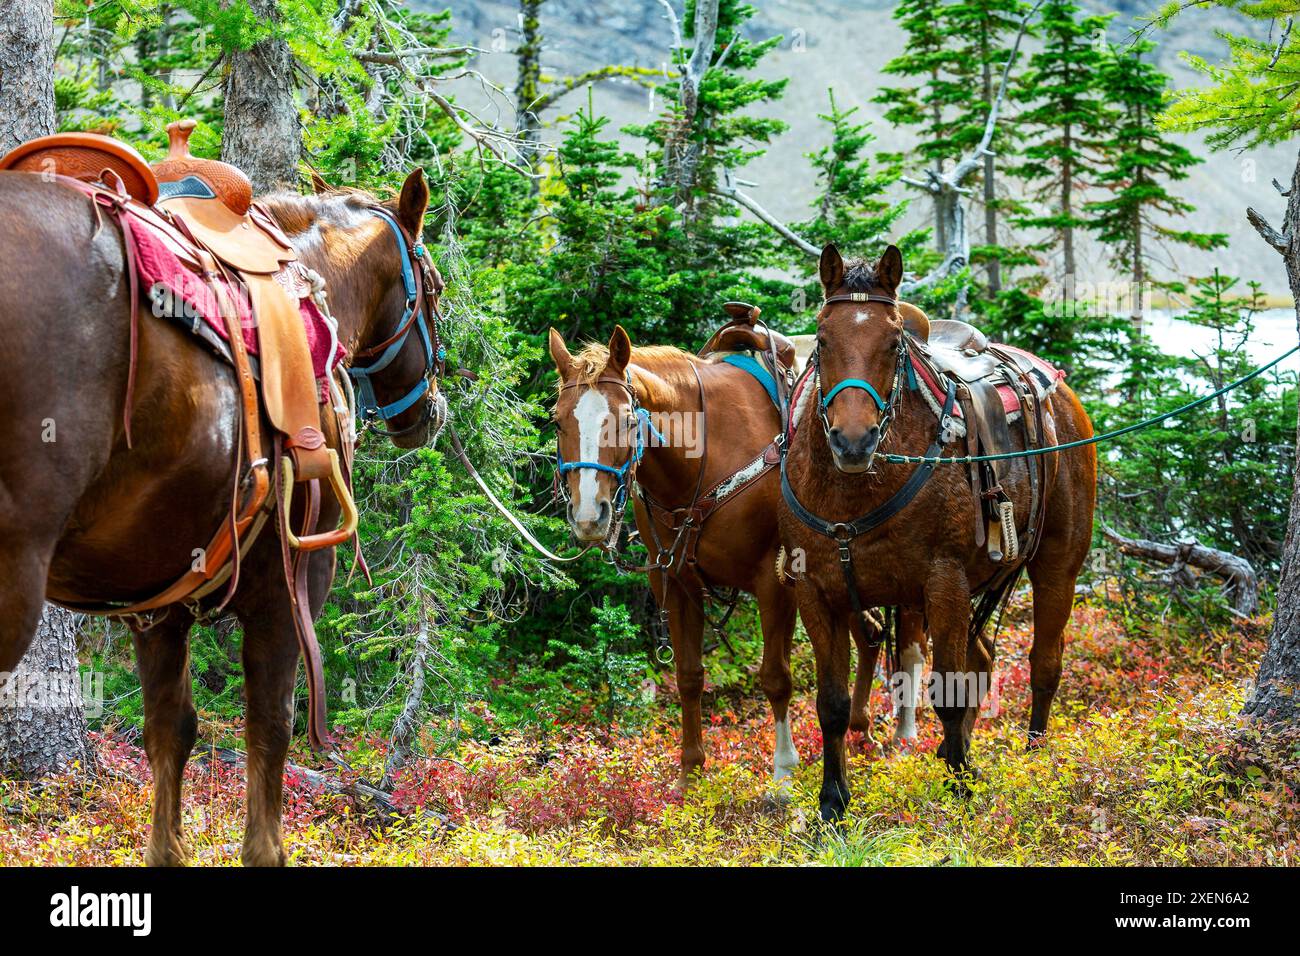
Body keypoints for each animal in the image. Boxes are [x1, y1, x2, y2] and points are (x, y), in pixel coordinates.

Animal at [0, 167, 442, 865]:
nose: (431, 411)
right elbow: (270, 733)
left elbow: (170, 733)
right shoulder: (287, 591)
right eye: (436, 289)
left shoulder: (157, 604)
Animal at [549, 325, 811, 791]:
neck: (706, 454)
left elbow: (776, 677)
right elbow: (688, 676)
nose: (589, 516)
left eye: (627, 420)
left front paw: (783, 776)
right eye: (558, 421)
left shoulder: (773, 580)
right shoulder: (673, 582)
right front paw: (690, 775)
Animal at [779, 244, 1097, 822]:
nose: (853, 442)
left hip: (1056, 565)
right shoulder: (816, 593)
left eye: (893, 342)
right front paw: (833, 803)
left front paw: (961, 788)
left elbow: (948, 693)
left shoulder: (943, 582)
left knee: (1044, 662)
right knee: (983, 659)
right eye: (823, 339)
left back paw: (1034, 756)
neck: (853, 491)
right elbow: (832, 705)